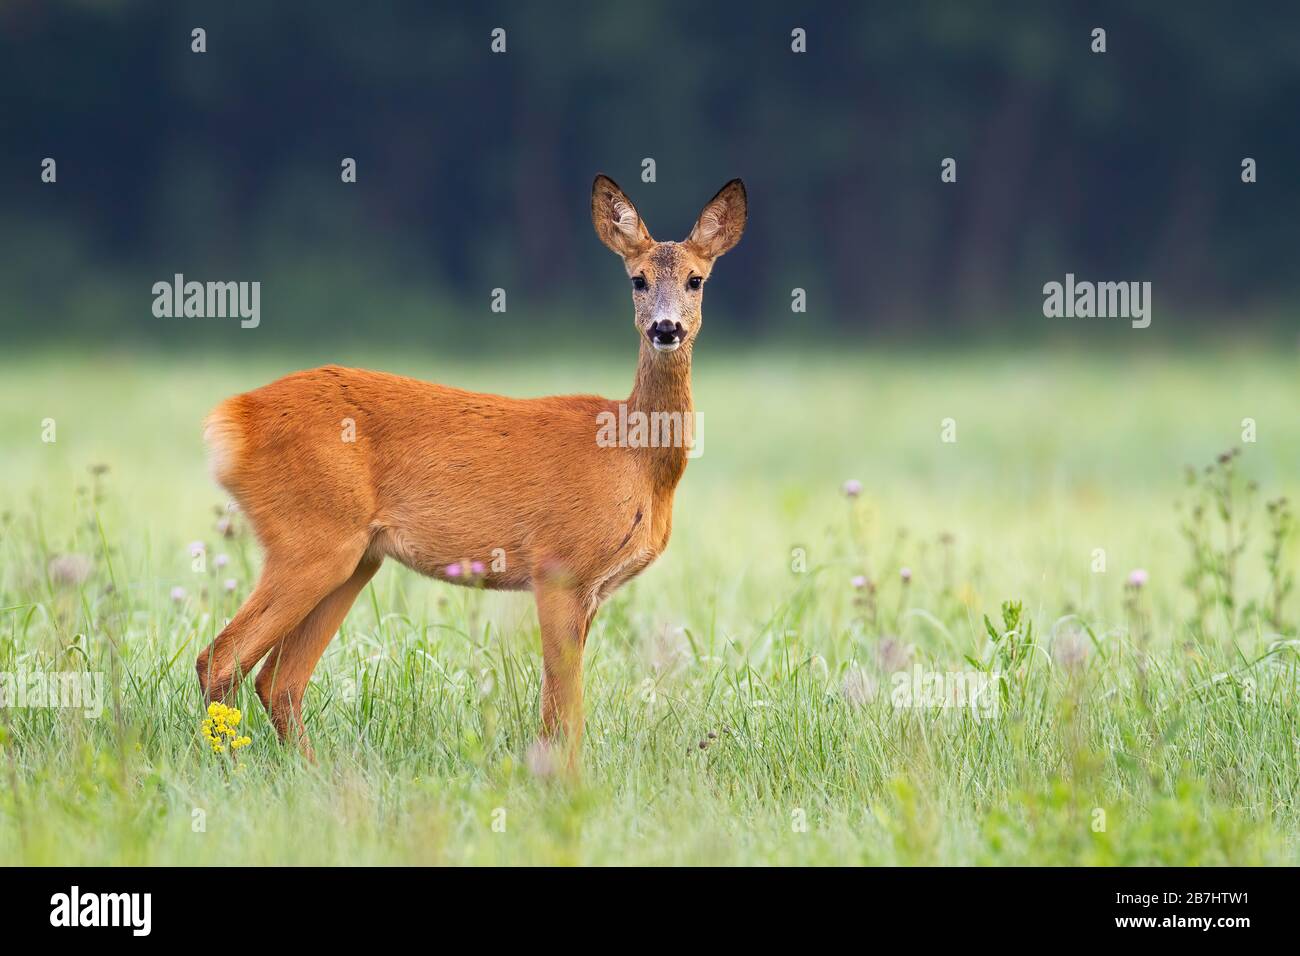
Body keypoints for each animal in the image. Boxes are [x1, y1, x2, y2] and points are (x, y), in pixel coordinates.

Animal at [195, 175, 747, 765]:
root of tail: (232, 417)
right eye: (638, 279)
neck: (634, 459)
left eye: (696, 280)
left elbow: (562, 709)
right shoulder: (558, 566)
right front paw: (563, 782)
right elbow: (563, 711)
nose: (666, 329)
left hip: (356, 556)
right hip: (310, 537)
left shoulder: (592, 589)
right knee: (222, 659)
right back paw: (230, 768)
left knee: (279, 679)